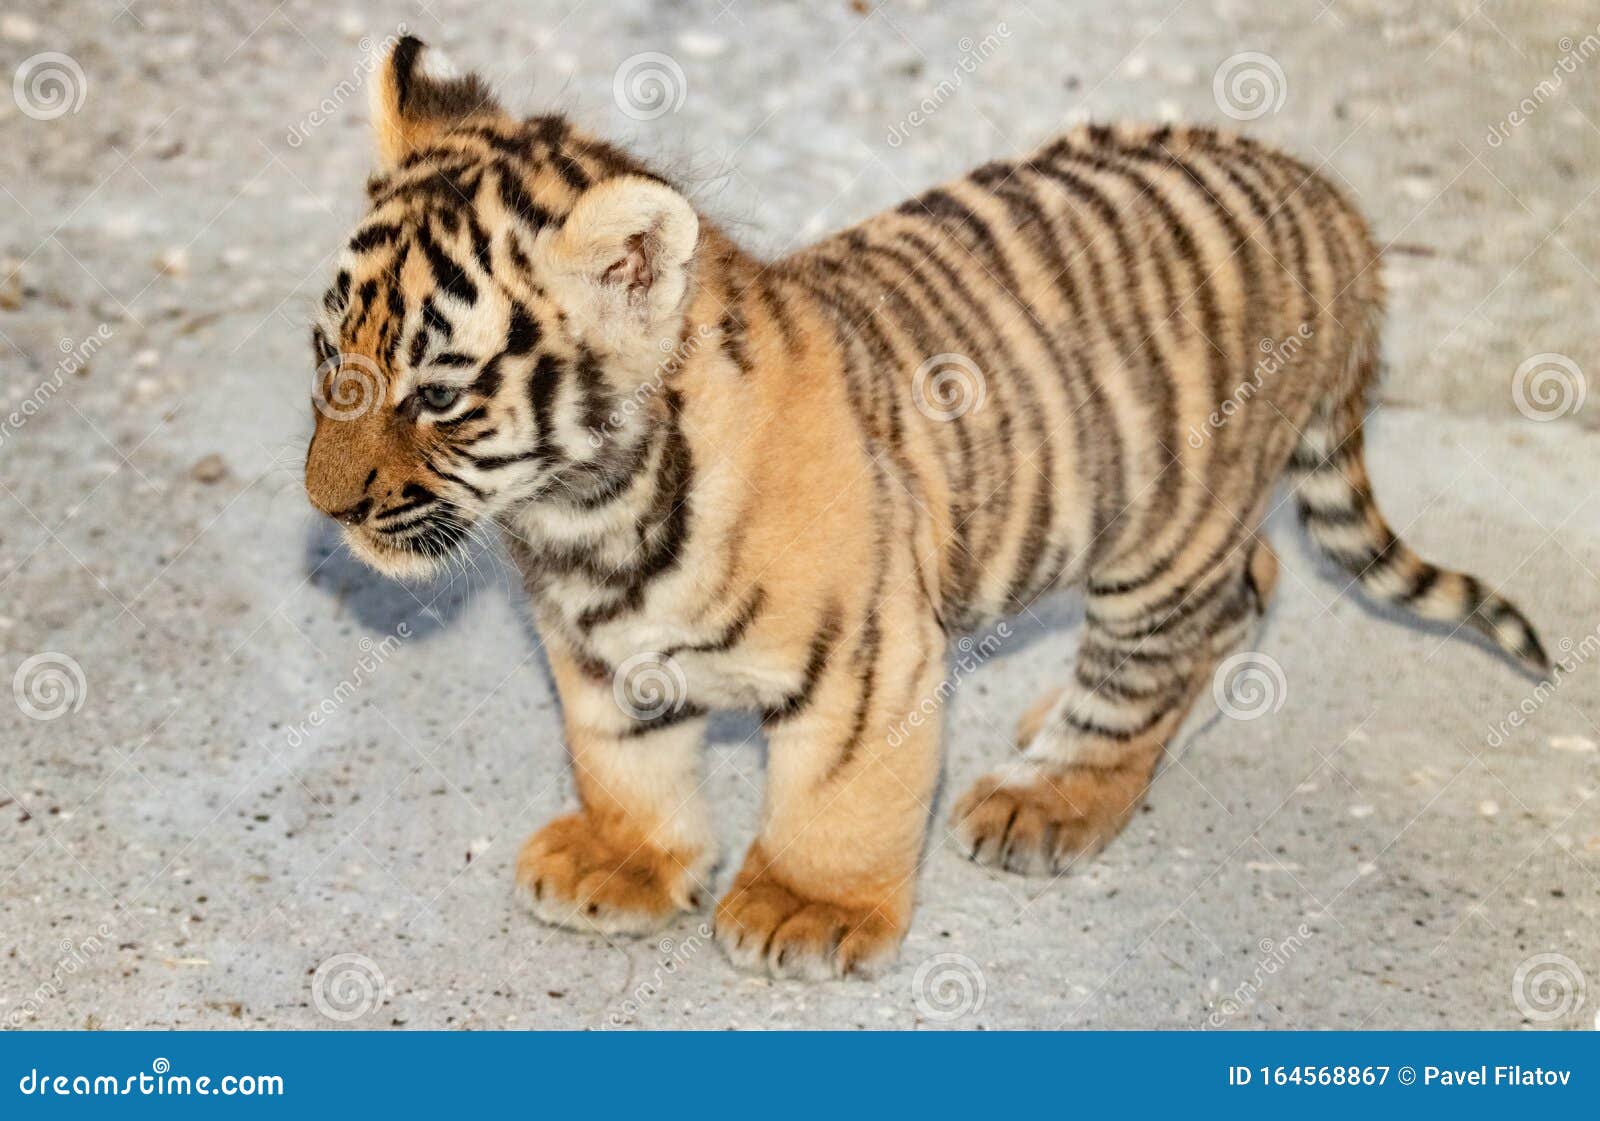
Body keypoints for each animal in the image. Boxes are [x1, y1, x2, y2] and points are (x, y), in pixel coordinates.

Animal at [302, 37, 1549, 979]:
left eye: (438, 394)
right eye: (330, 358)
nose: (326, 507)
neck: (586, 514)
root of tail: (1331, 204)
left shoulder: (867, 660)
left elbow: (837, 800)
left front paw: (804, 913)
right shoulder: (598, 656)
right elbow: (622, 762)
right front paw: (624, 864)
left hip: (1163, 533)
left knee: (1155, 659)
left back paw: (1052, 796)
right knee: (1256, 584)